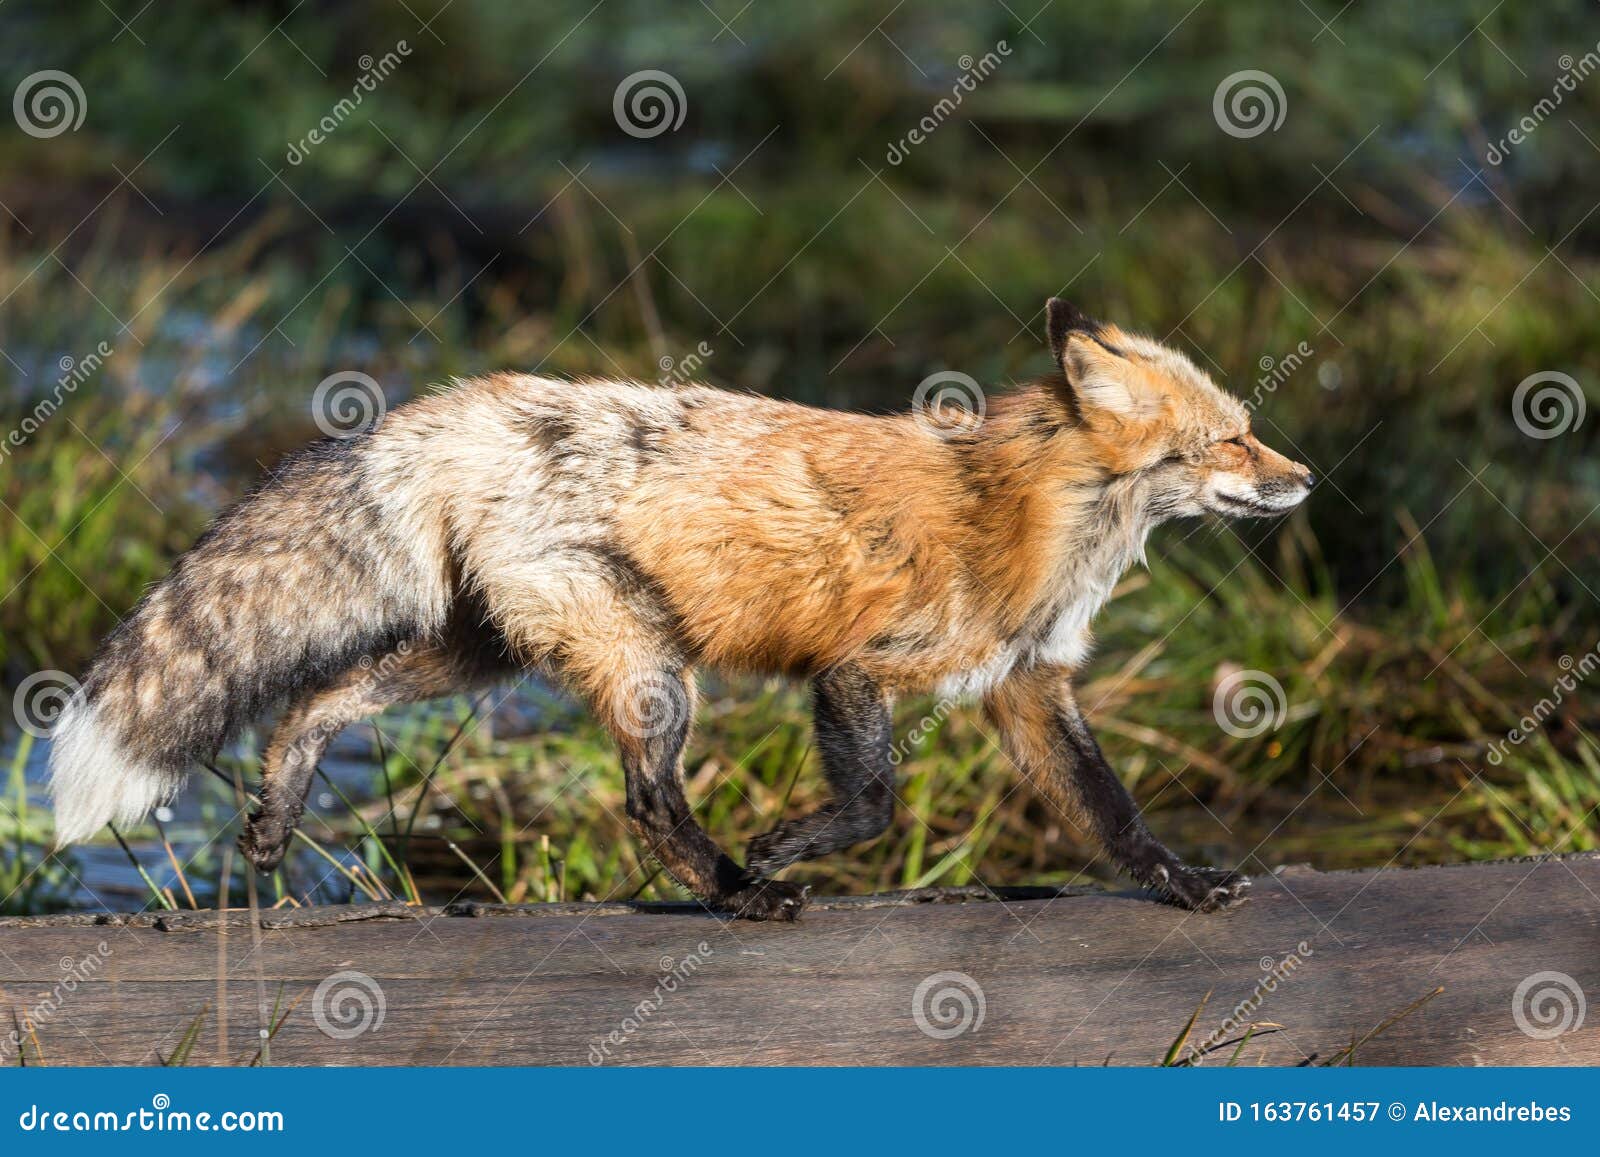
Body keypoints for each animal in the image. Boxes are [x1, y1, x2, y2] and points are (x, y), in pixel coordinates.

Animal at [48, 299, 1313, 920]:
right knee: (650, 803)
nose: (1304, 479)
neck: (1031, 507)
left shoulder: (1026, 686)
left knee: (312, 698)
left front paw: (1184, 884)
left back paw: (275, 810)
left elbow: (1114, 815)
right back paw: (739, 892)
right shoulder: (859, 668)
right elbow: (874, 800)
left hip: (478, 653)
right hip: (650, 670)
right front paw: (783, 844)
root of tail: (453, 408)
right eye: (1232, 440)